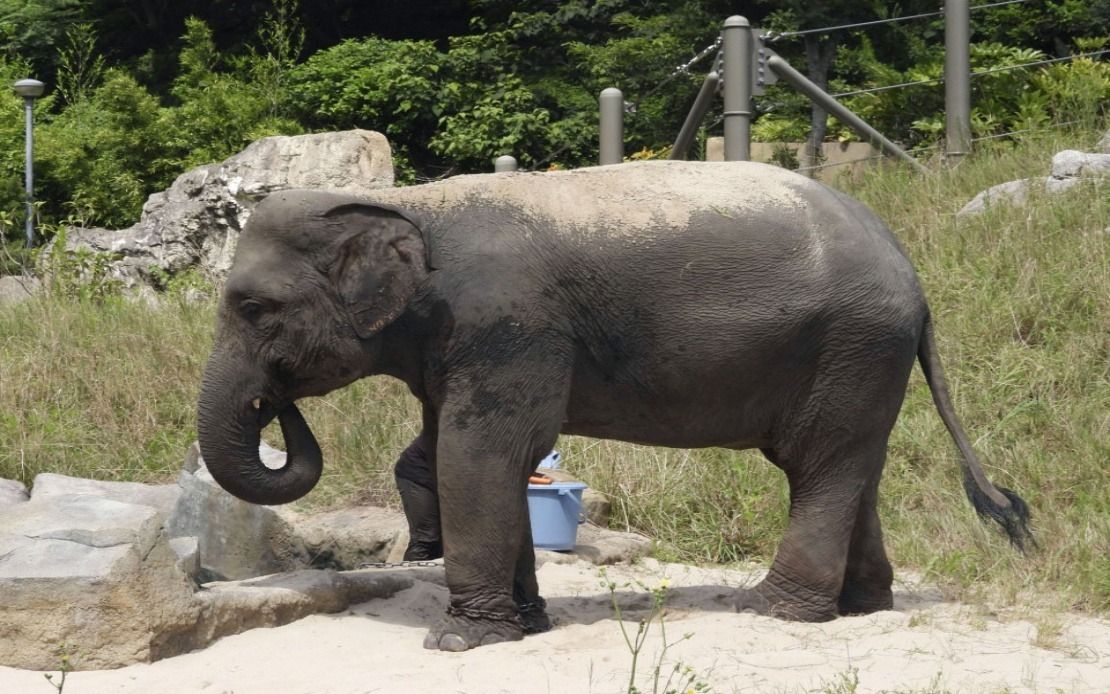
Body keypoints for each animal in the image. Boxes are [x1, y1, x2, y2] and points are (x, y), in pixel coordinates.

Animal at [196, 160, 1032, 652]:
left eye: (254, 309)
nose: (274, 406)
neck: (406, 203)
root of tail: (914, 278)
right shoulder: (467, 339)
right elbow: (479, 458)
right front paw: (524, 625)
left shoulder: (510, 323)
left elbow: (481, 454)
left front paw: (461, 641)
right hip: (863, 359)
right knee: (856, 467)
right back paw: (859, 607)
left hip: (852, 344)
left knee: (820, 466)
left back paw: (776, 610)